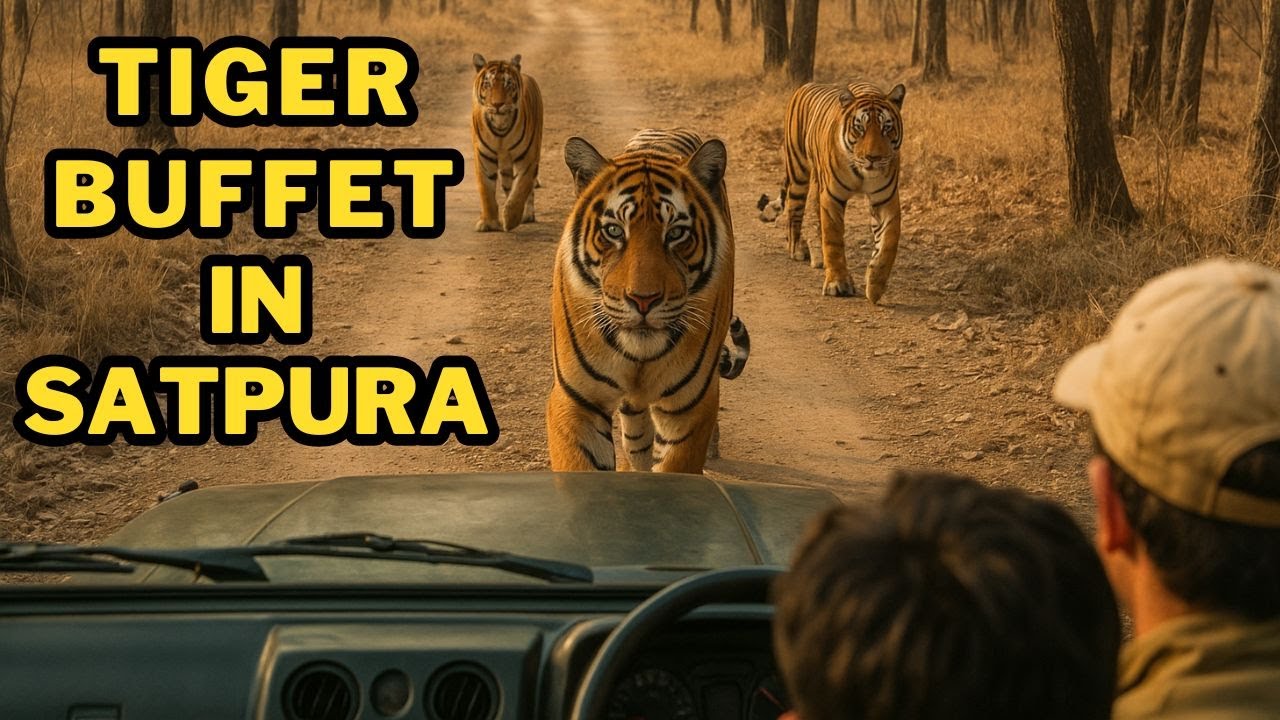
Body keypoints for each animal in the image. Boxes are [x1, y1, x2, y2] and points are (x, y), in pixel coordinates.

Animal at [471, 53, 543, 232]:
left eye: (508, 84)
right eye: (488, 84)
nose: (497, 104)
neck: (500, 127)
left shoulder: (527, 159)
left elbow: (520, 190)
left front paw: (511, 219)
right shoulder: (483, 157)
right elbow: (486, 190)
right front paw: (488, 222)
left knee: (528, 189)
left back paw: (527, 215)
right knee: (508, 185)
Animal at [759, 81, 906, 303]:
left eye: (886, 127)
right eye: (859, 127)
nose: (873, 158)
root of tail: (804, 85)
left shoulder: (885, 200)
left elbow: (889, 242)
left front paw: (875, 285)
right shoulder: (832, 196)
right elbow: (833, 239)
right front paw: (837, 284)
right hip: (798, 172)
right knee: (794, 210)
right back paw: (796, 249)